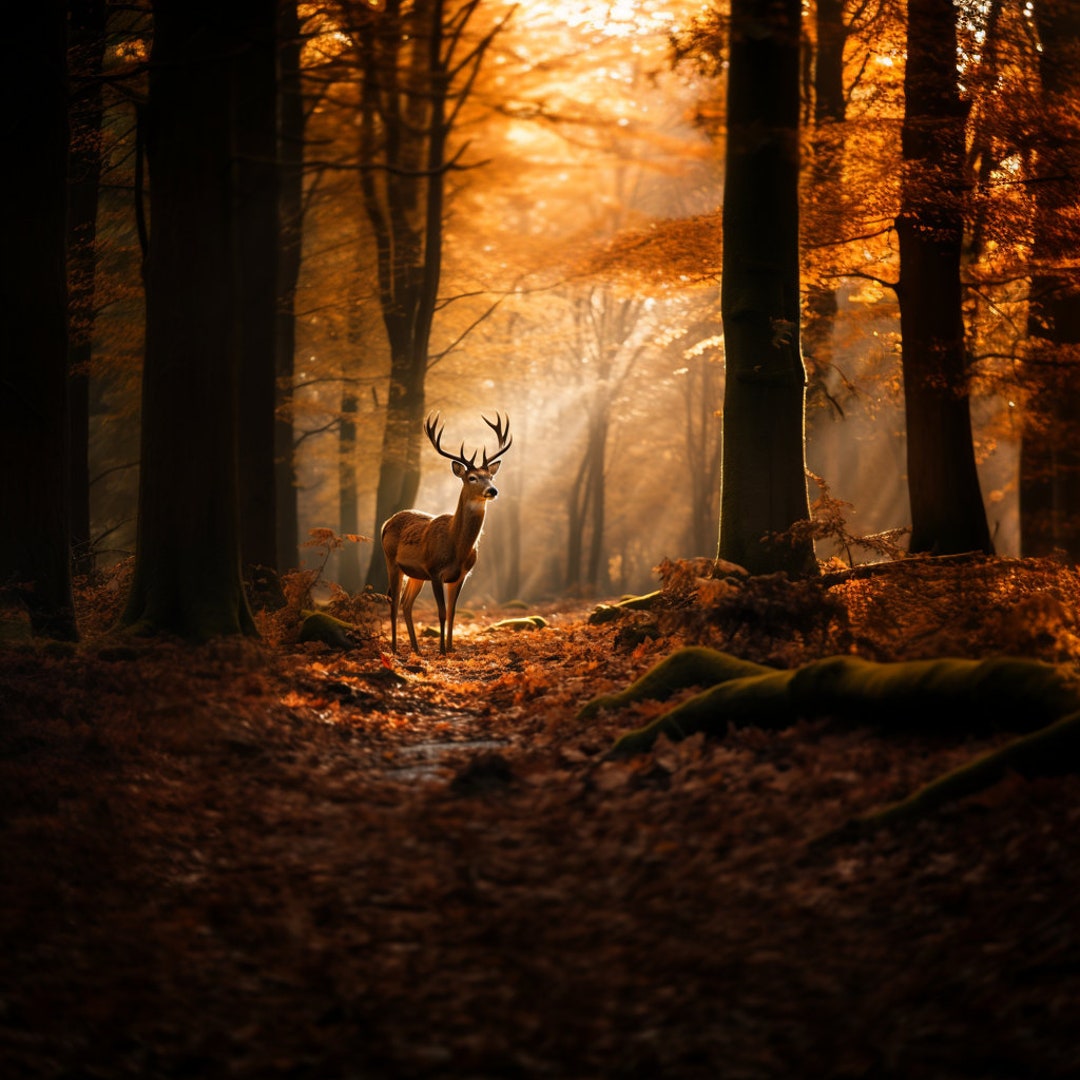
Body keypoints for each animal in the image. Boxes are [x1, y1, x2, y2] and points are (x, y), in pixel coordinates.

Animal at [382, 412, 512, 655]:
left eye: (491, 477)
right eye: (472, 478)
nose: (492, 490)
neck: (457, 547)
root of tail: (386, 523)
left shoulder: (461, 575)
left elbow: (452, 612)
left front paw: (451, 648)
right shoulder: (434, 570)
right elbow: (441, 613)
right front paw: (442, 650)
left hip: (415, 573)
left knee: (406, 603)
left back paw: (416, 649)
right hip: (391, 561)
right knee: (393, 602)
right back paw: (394, 649)